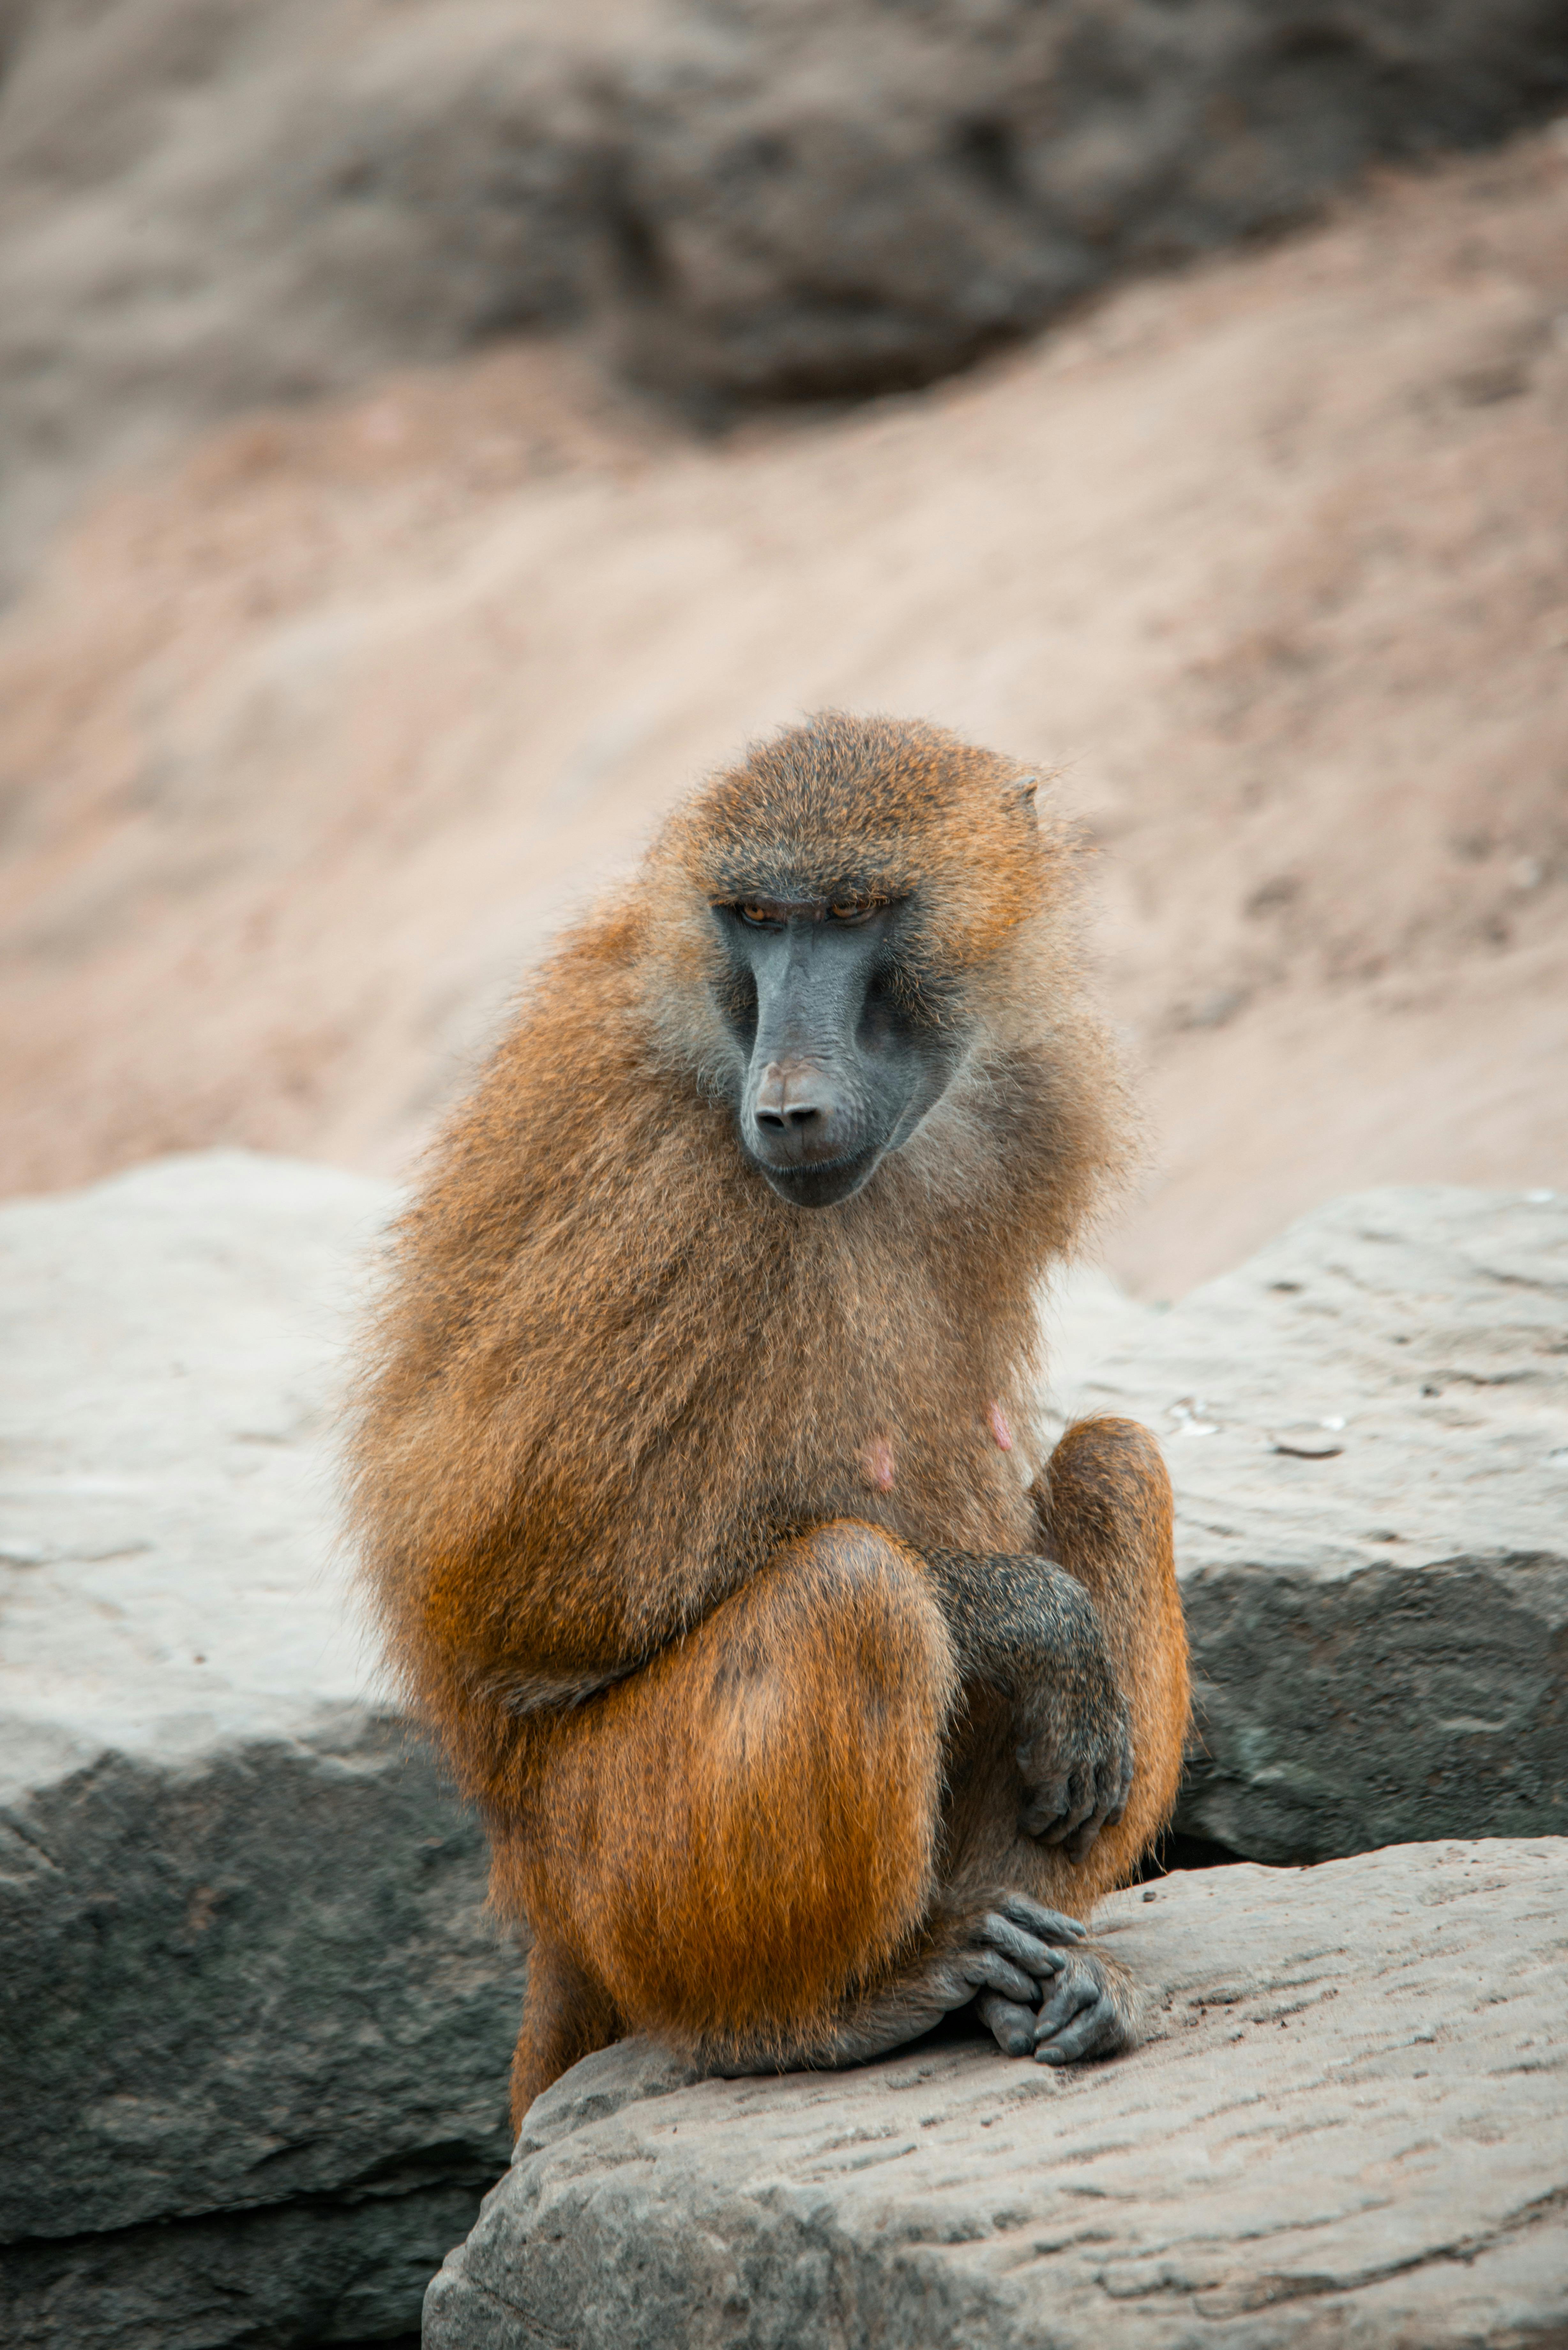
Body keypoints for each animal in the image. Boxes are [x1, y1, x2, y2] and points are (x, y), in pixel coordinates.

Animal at [346, 711, 1190, 2129]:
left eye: (848, 913)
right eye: (752, 920)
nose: (787, 1107)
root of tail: (534, 1897)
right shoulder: (655, 1184)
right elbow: (505, 1583)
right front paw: (1034, 1623)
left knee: (1118, 1466)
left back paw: (1034, 1971)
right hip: (611, 1865)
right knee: (855, 1589)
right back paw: (825, 2012)